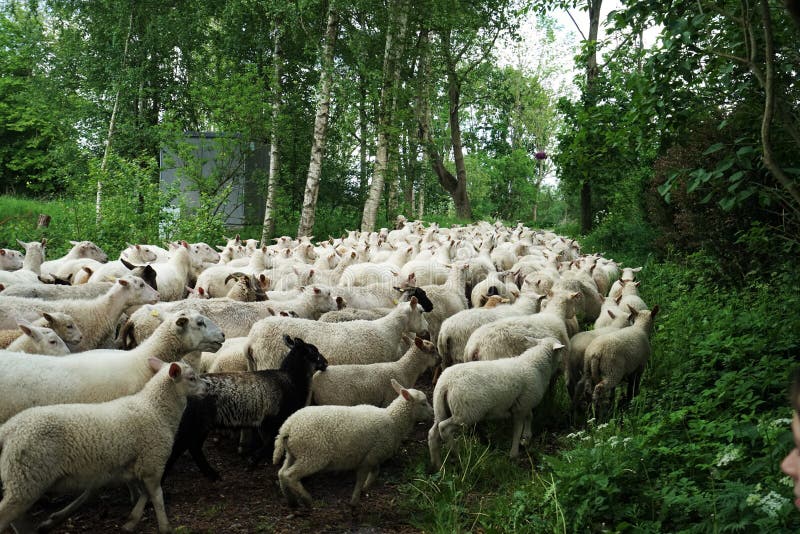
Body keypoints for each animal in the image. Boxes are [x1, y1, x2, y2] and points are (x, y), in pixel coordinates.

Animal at [0, 358, 204, 534]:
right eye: (191, 378)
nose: (208, 386)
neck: (154, 409)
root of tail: (10, 428)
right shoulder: (153, 461)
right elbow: (157, 497)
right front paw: (164, 526)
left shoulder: (139, 464)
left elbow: (144, 494)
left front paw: (131, 522)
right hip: (26, 477)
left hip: (22, 479)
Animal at [163, 335, 328, 481]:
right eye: (313, 352)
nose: (326, 363)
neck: (291, 379)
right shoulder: (276, 419)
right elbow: (270, 444)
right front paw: (253, 461)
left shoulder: (266, 422)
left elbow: (269, 443)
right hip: (197, 422)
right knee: (185, 446)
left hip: (198, 423)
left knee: (192, 446)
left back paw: (209, 474)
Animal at [273, 379, 433, 508]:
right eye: (423, 403)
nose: (433, 414)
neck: (394, 421)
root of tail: (287, 427)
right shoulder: (370, 457)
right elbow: (364, 477)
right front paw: (355, 499)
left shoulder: (372, 456)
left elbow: (374, 473)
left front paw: (364, 490)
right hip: (313, 454)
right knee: (290, 476)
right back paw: (307, 499)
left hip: (293, 453)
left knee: (281, 474)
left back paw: (291, 501)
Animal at [428, 338, 565, 468]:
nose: (561, 369)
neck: (534, 364)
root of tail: (445, 383)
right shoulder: (521, 408)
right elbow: (517, 430)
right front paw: (514, 453)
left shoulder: (525, 402)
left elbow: (529, 416)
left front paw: (526, 437)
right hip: (466, 413)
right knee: (444, 428)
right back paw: (455, 453)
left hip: (441, 409)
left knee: (433, 434)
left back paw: (438, 465)